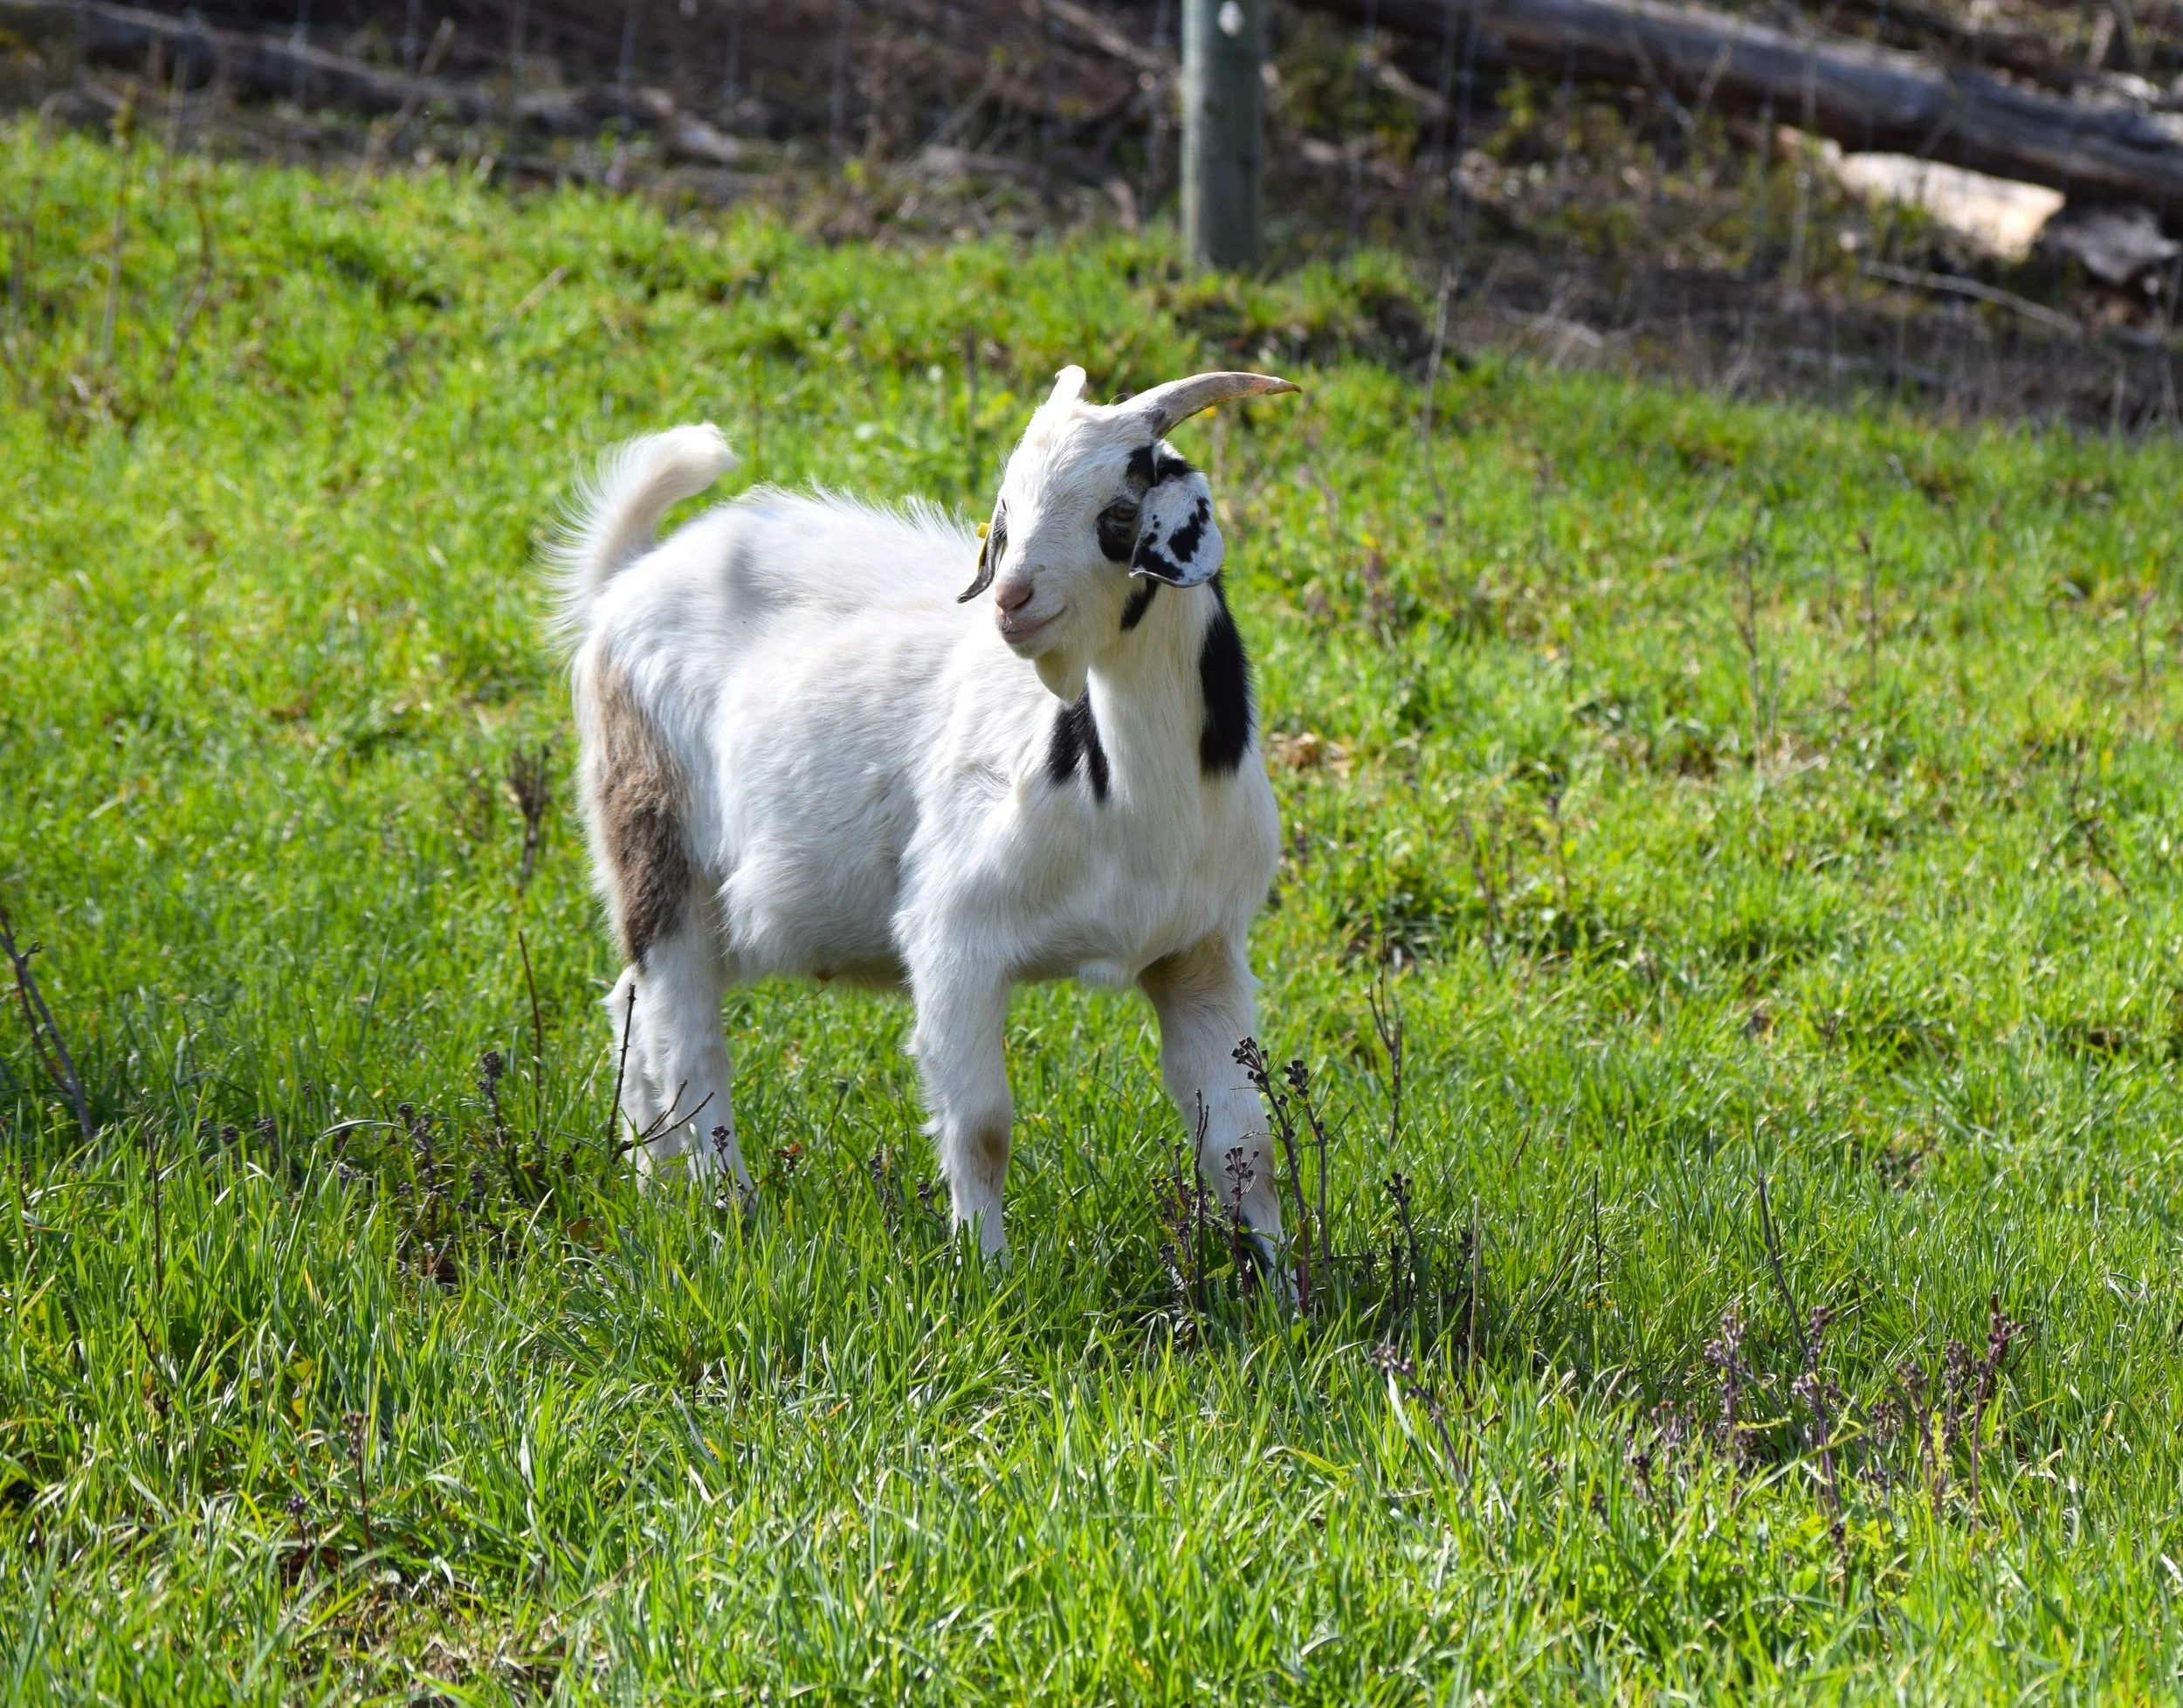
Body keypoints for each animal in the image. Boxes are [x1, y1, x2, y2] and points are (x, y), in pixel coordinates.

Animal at [553, 365, 1300, 1259]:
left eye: (1120, 513)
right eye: (1008, 511)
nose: (1010, 599)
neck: (1135, 806)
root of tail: (626, 578)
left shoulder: (1200, 953)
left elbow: (1245, 1143)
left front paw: (1290, 1277)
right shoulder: (954, 934)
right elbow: (982, 1127)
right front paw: (987, 1270)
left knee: (634, 1014)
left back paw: (653, 1192)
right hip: (656, 841)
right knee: (684, 1031)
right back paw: (727, 1211)